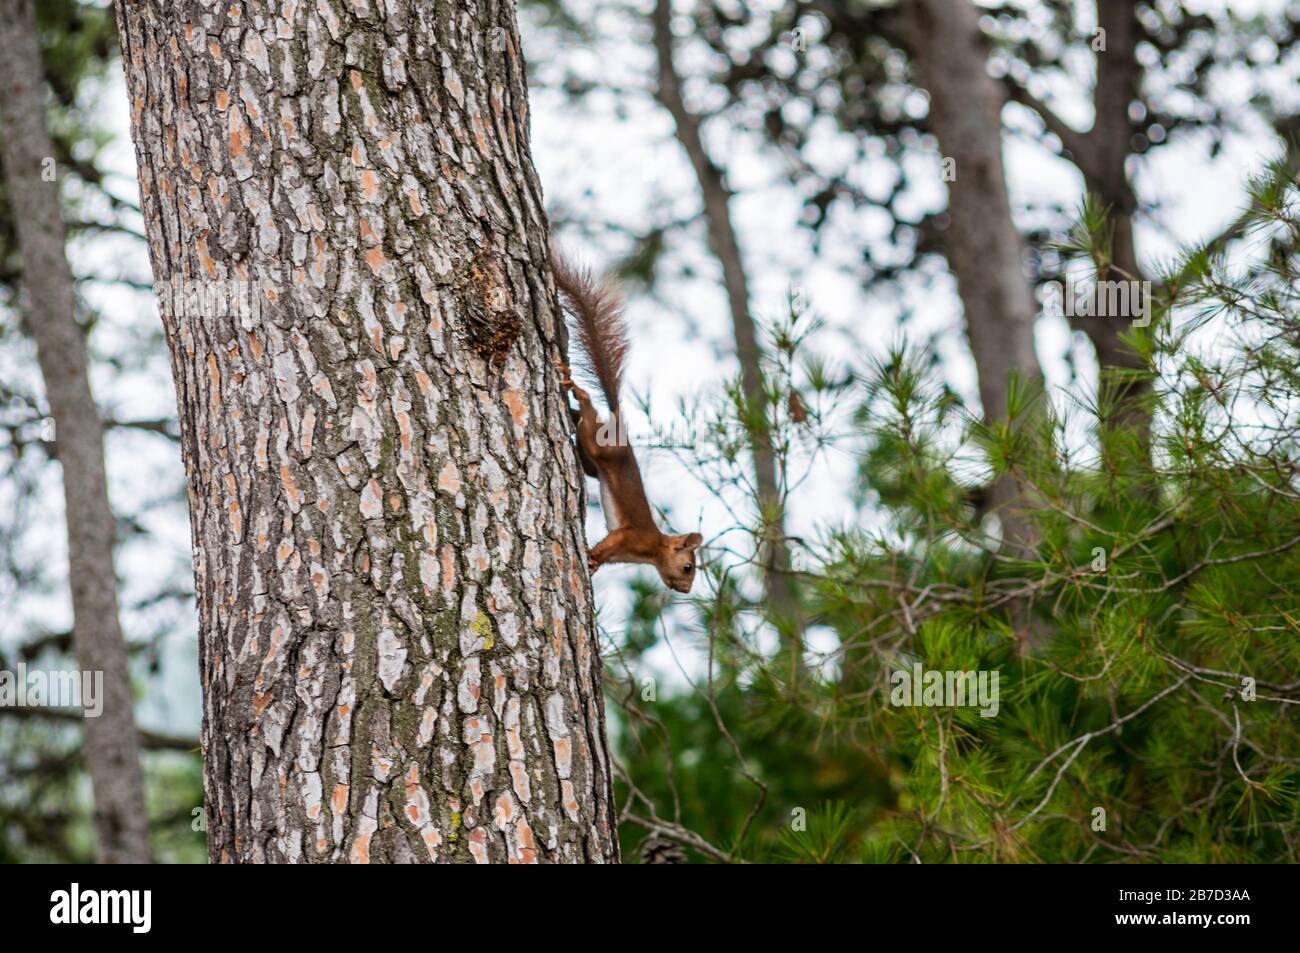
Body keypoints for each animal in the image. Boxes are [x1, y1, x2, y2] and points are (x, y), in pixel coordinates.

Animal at [550, 252, 702, 593]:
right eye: (688, 567)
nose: (686, 590)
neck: (654, 549)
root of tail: (619, 426)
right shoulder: (630, 536)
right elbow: (610, 541)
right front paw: (591, 555)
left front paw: (593, 564)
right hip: (600, 445)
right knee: (589, 412)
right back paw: (576, 392)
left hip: (592, 462)